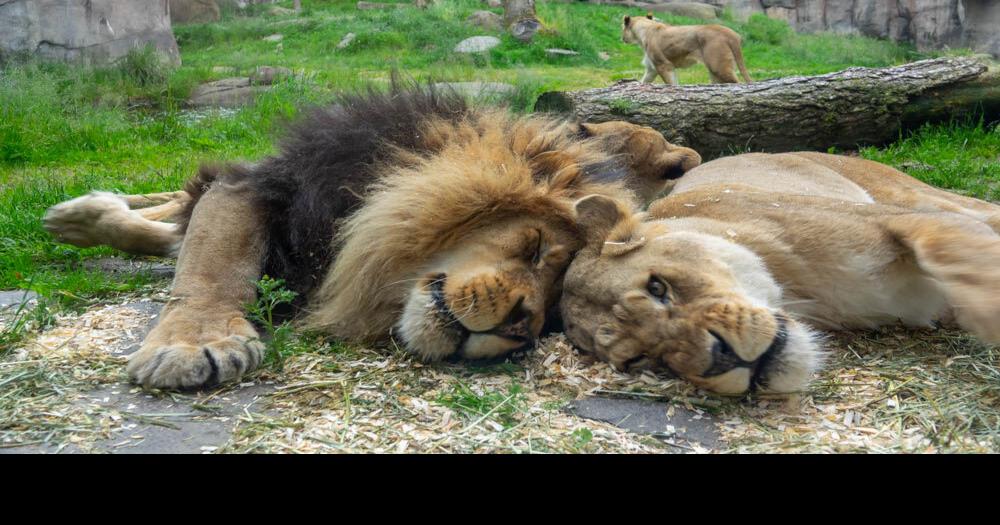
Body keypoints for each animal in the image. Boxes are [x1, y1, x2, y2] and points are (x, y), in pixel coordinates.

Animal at [42, 85, 699, 390]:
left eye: (555, 317)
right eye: (534, 247)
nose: (520, 327)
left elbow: (197, 245)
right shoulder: (262, 184)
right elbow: (212, 264)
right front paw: (192, 343)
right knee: (179, 207)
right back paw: (74, 214)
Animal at [561, 152, 1000, 395]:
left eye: (657, 287)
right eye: (638, 360)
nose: (719, 360)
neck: (805, 293)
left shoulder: (911, 220)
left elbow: (965, 257)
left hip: (916, 195)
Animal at [622, 13, 752, 85]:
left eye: (622, 28)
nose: (622, 38)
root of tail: (731, 33)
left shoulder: (664, 65)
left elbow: (671, 83)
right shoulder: (652, 69)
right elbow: (644, 81)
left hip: (718, 66)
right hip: (714, 71)